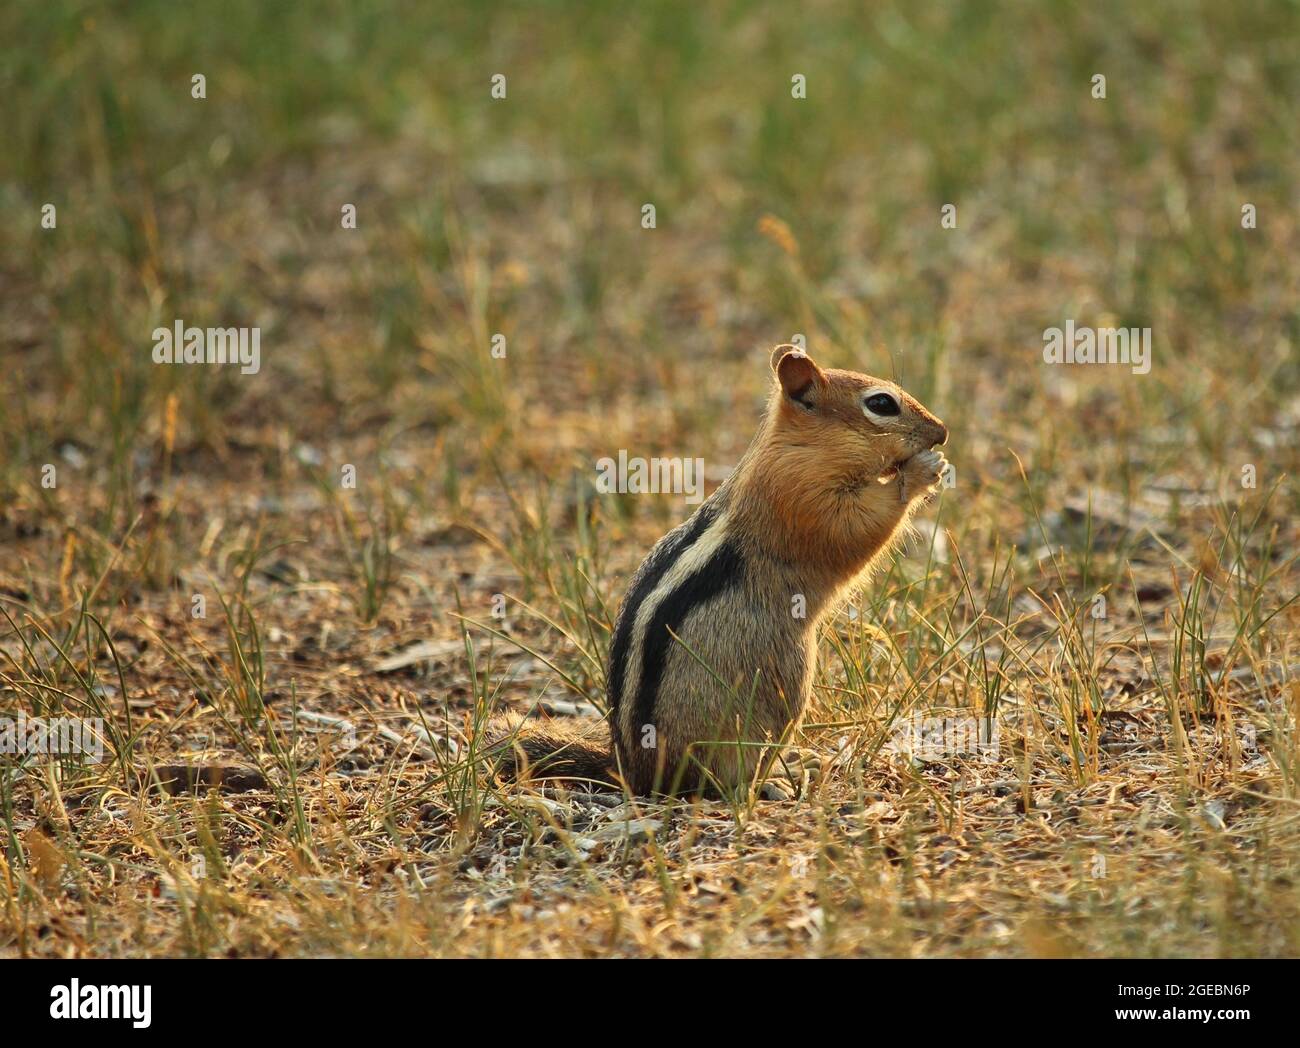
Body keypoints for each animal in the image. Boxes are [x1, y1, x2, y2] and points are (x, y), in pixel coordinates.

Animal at [490, 345, 949, 795]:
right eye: (881, 404)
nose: (941, 432)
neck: (798, 448)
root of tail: (631, 771)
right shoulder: (805, 500)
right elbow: (859, 525)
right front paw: (924, 469)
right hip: (779, 692)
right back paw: (774, 781)